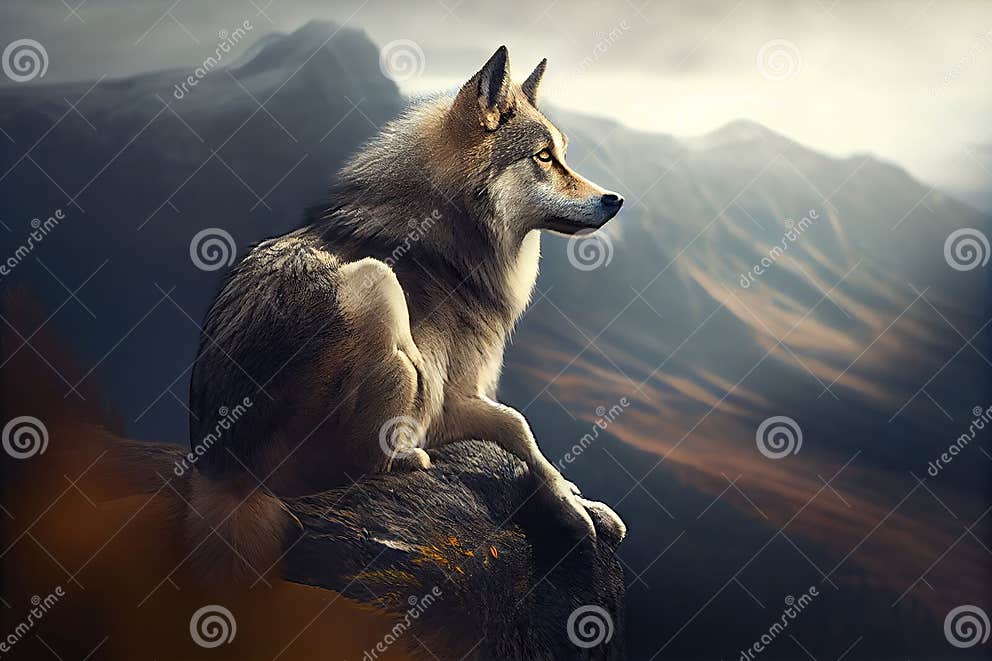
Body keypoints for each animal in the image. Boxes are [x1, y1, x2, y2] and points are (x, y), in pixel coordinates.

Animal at [186, 46, 626, 577]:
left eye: (563, 153)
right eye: (544, 156)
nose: (615, 199)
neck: (452, 244)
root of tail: (221, 473)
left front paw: (587, 502)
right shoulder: (450, 400)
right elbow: (519, 428)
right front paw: (571, 506)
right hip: (374, 284)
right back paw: (406, 457)